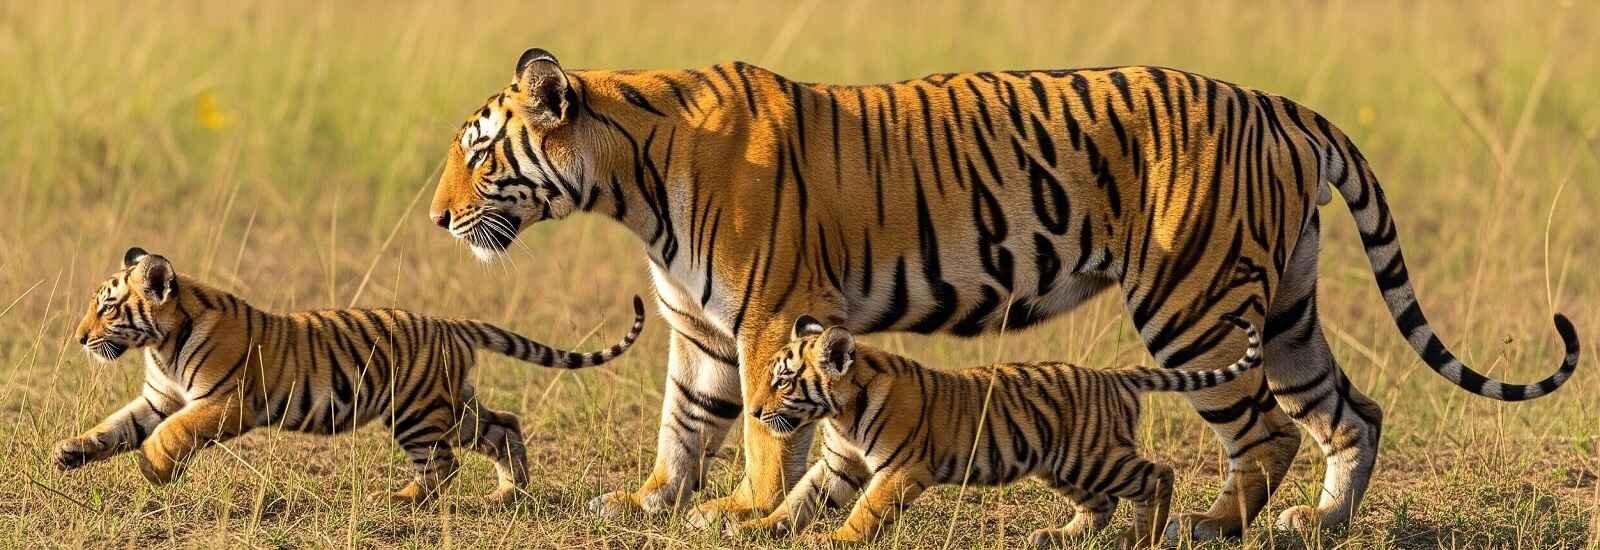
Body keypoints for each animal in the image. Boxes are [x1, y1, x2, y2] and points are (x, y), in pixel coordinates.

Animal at [54, 247, 645, 504]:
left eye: (107, 309)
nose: (79, 338)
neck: (162, 344)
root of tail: (451, 324)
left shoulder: (225, 400)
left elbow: (172, 432)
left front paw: (154, 468)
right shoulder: (160, 396)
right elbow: (116, 426)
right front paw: (70, 452)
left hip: (417, 413)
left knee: (444, 466)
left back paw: (404, 499)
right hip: (453, 408)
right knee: (505, 425)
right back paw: (508, 492)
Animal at [726, 314, 1261, 547]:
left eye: (783, 381)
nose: (753, 412)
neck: (840, 412)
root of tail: (1114, 375)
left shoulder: (902, 467)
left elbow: (866, 509)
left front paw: (835, 539)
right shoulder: (839, 462)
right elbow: (801, 499)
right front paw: (759, 527)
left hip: (1092, 457)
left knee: (1157, 475)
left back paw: (1141, 537)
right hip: (1062, 465)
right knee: (1101, 504)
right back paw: (1056, 535)